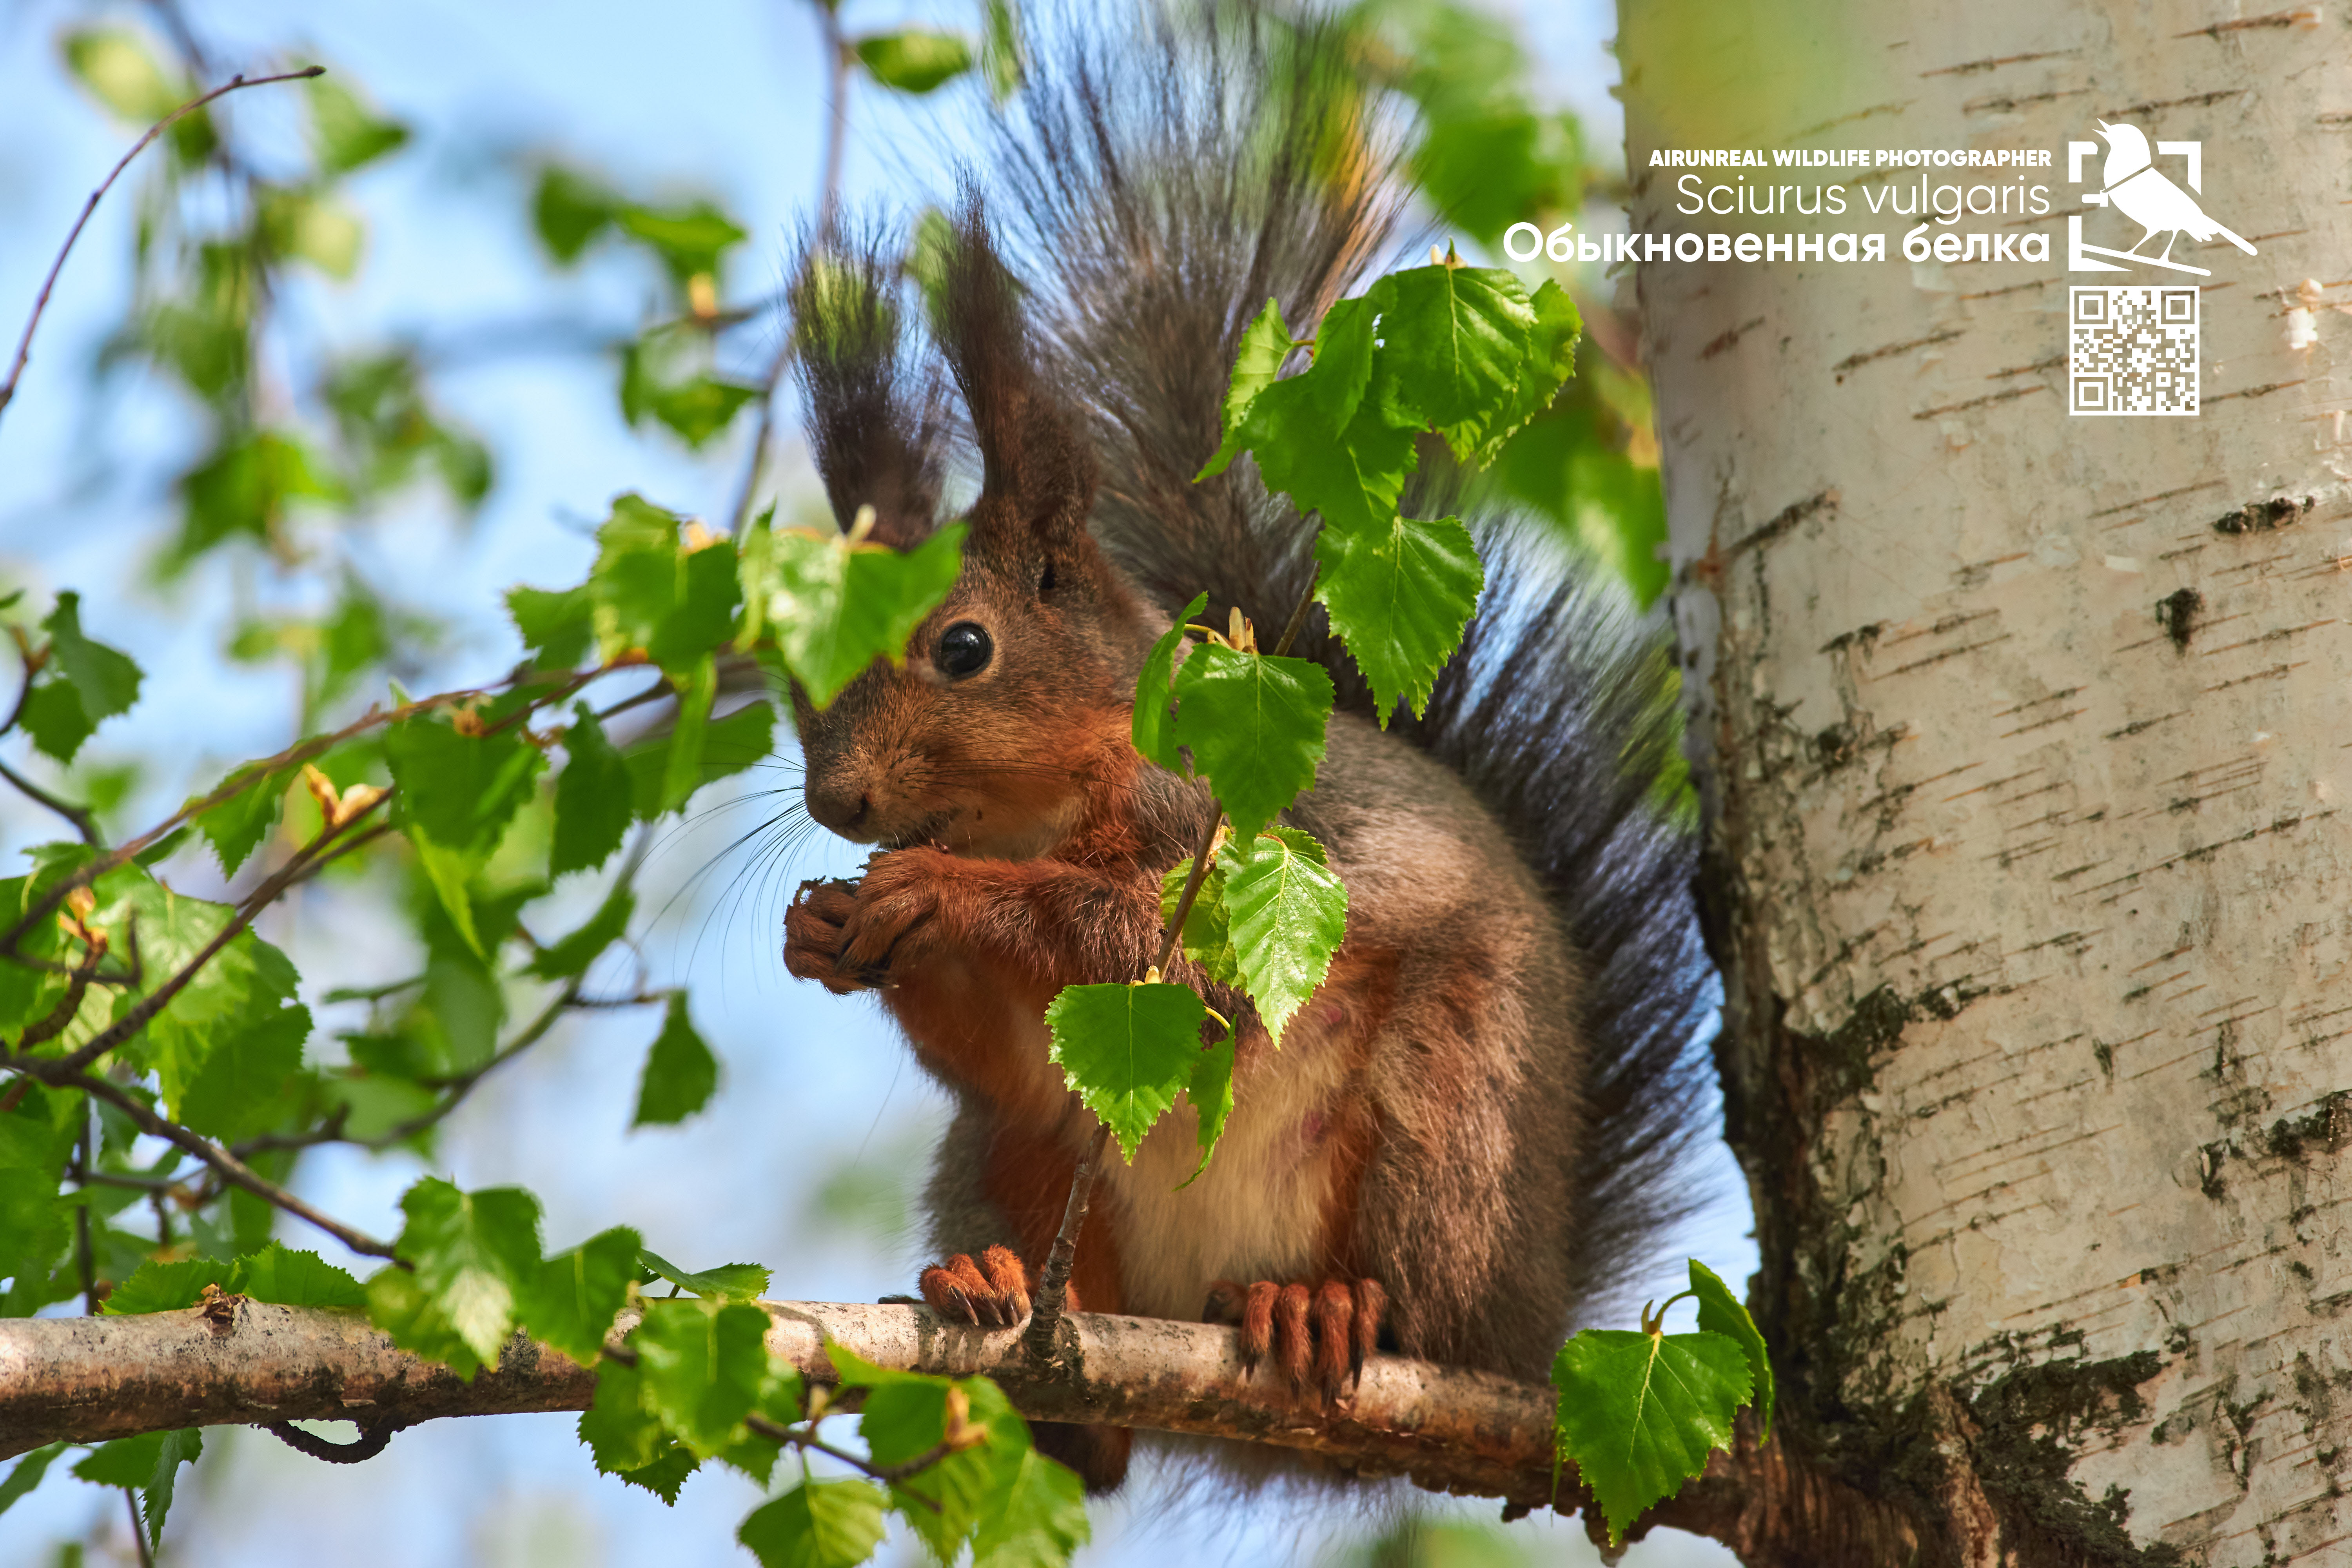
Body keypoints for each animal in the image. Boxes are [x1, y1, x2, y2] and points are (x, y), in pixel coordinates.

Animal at [781, 3, 1703, 1495]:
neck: (1031, 810)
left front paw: (948, 896)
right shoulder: (1019, 1064)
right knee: (1086, 1427)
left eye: (964, 649)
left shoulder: (1244, 851)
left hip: (1448, 1112)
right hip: (1014, 1163)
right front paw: (823, 931)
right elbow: (1003, 1047)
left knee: (1411, 1298)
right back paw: (999, 1294)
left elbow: (1150, 952)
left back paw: (1321, 1306)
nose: (839, 801)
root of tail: (1530, 1327)